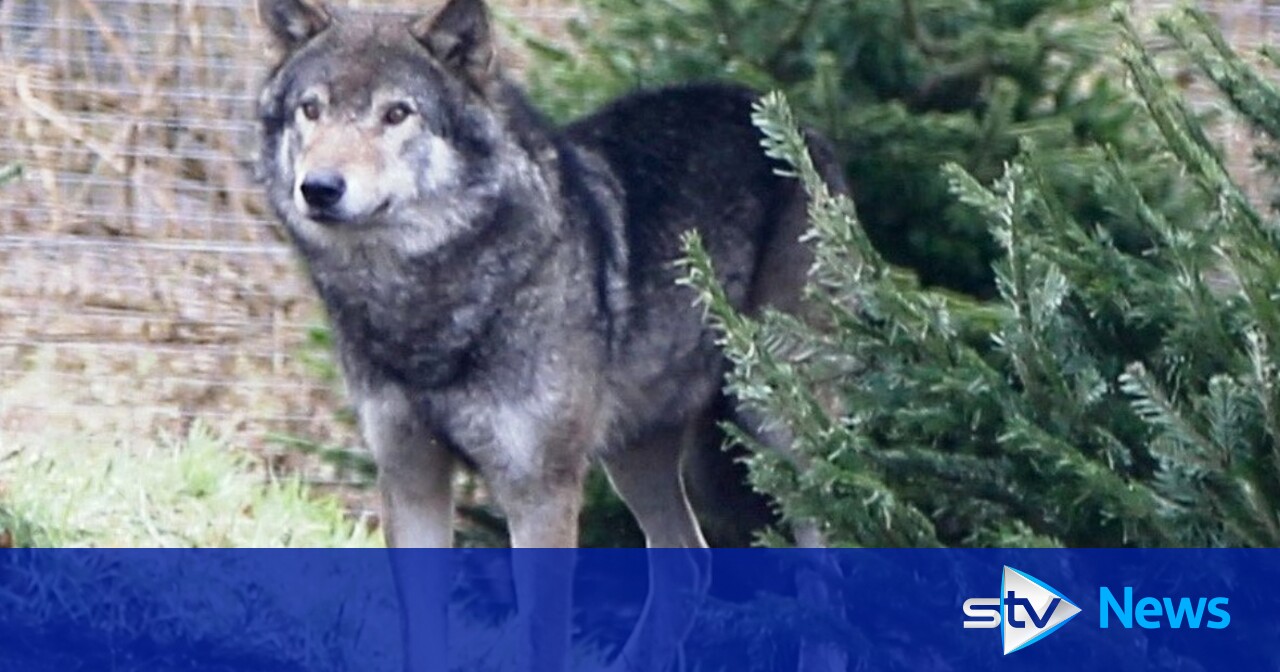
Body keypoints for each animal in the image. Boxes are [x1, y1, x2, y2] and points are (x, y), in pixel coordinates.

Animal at [256, 0, 840, 669]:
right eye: (312, 109)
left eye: (397, 114)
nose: (319, 187)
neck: (430, 303)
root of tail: (803, 127)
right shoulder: (410, 478)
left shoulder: (540, 492)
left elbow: (544, 638)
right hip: (633, 452)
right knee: (689, 565)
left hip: (777, 421)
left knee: (828, 553)